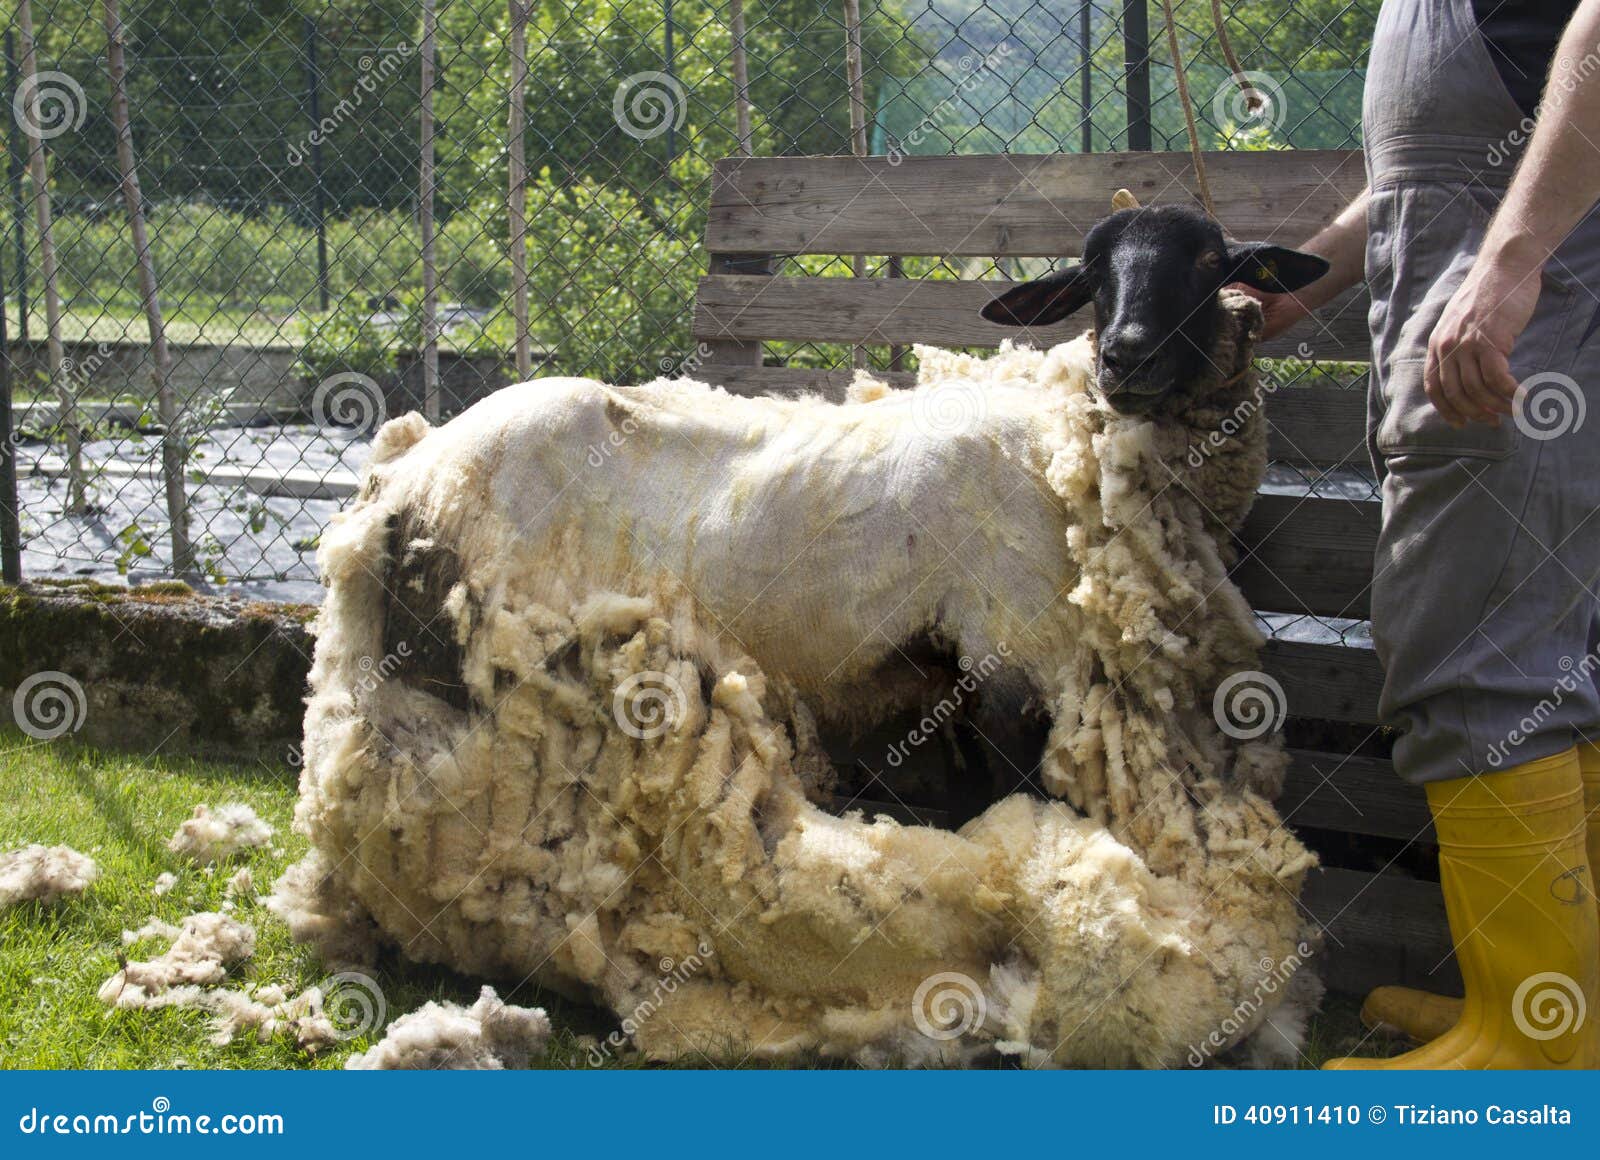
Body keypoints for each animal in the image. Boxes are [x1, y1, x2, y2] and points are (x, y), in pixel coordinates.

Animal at [273, 211, 1329, 1067]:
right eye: (1097, 272)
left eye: (1210, 262)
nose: (1127, 355)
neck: (1056, 439)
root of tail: (404, 471)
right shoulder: (1009, 659)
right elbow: (1010, 797)